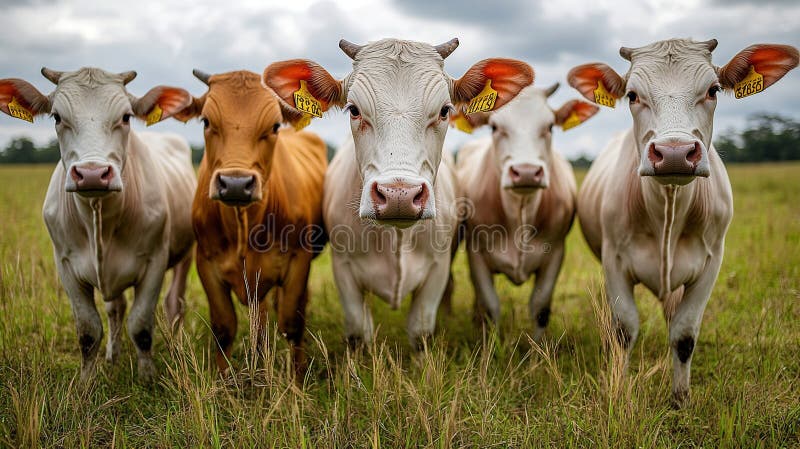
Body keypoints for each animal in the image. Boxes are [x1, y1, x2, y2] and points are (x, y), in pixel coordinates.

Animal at [0, 68, 197, 382]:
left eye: (126, 117)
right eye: (56, 117)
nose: (92, 174)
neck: (100, 219)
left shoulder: (154, 261)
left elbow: (141, 325)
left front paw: (147, 377)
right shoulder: (65, 265)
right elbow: (88, 330)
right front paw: (85, 383)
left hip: (185, 253)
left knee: (173, 303)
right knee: (115, 309)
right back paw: (112, 356)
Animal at [170, 70, 327, 377]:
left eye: (275, 126)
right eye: (206, 122)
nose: (235, 183)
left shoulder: (298, 261)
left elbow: (292, 324)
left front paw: (297, 377)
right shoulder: (206, 264)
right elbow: (223, 328)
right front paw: (223, 380)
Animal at [264, 38, 534, 347]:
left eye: (445, 110)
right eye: (353, 109)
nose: (398, 195)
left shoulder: (437, 269)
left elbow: (420, 330)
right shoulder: (343, 269)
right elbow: (359, 331)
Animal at [452, 83, 598, 338]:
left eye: (549, 126)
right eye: (494, 127)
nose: (527, 172)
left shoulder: (555, 253)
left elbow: (540, 308)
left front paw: (536, 349)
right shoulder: (476, 254)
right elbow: (490, 306)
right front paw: (490, 346)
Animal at [566, 38, 798, 405]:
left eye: (713, 90)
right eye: (632, 95)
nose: (674, 153)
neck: (668, 212)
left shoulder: (711, 263)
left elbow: (684, 333)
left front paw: (680, 398)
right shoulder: (613, 261)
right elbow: (623, 330)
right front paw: (619, 389)